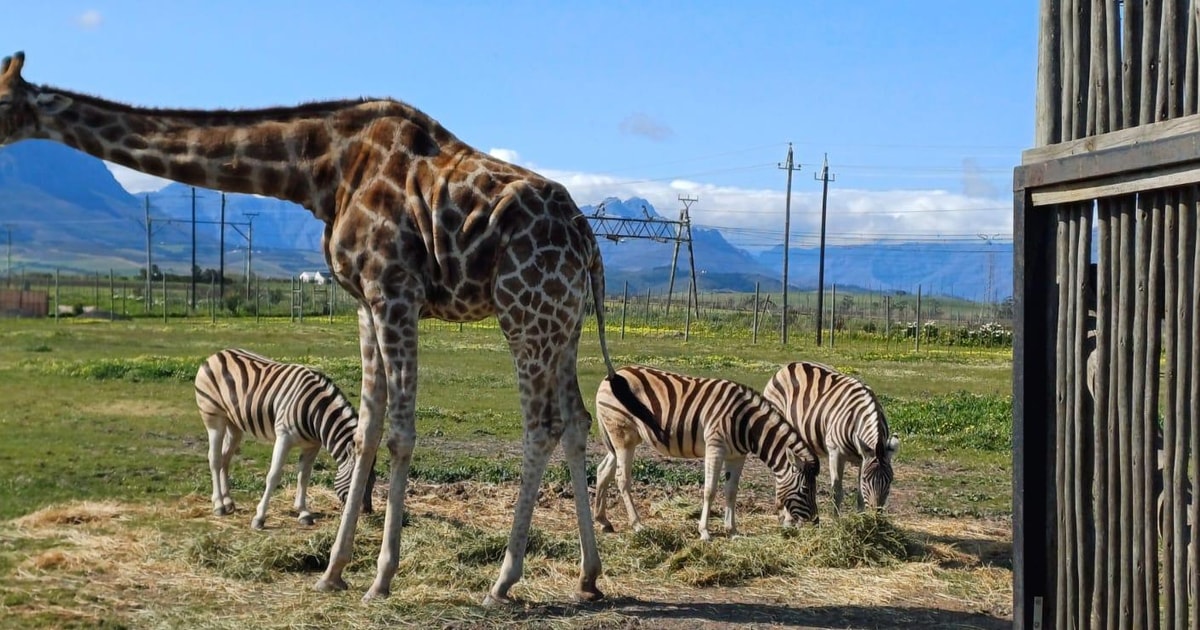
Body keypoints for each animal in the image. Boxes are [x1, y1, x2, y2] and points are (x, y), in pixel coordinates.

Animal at [0, 51, 618, 605]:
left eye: (4, 99)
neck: (319, 171)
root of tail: (588, 240)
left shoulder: (394, 289)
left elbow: (400, 432)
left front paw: (380, 579)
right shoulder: (365, 302)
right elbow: (367, 428)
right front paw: (333, 571)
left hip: (523, 312)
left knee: (540, 426)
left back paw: (502, 582)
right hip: (563, 324)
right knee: (576, 422)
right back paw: (587, 577)